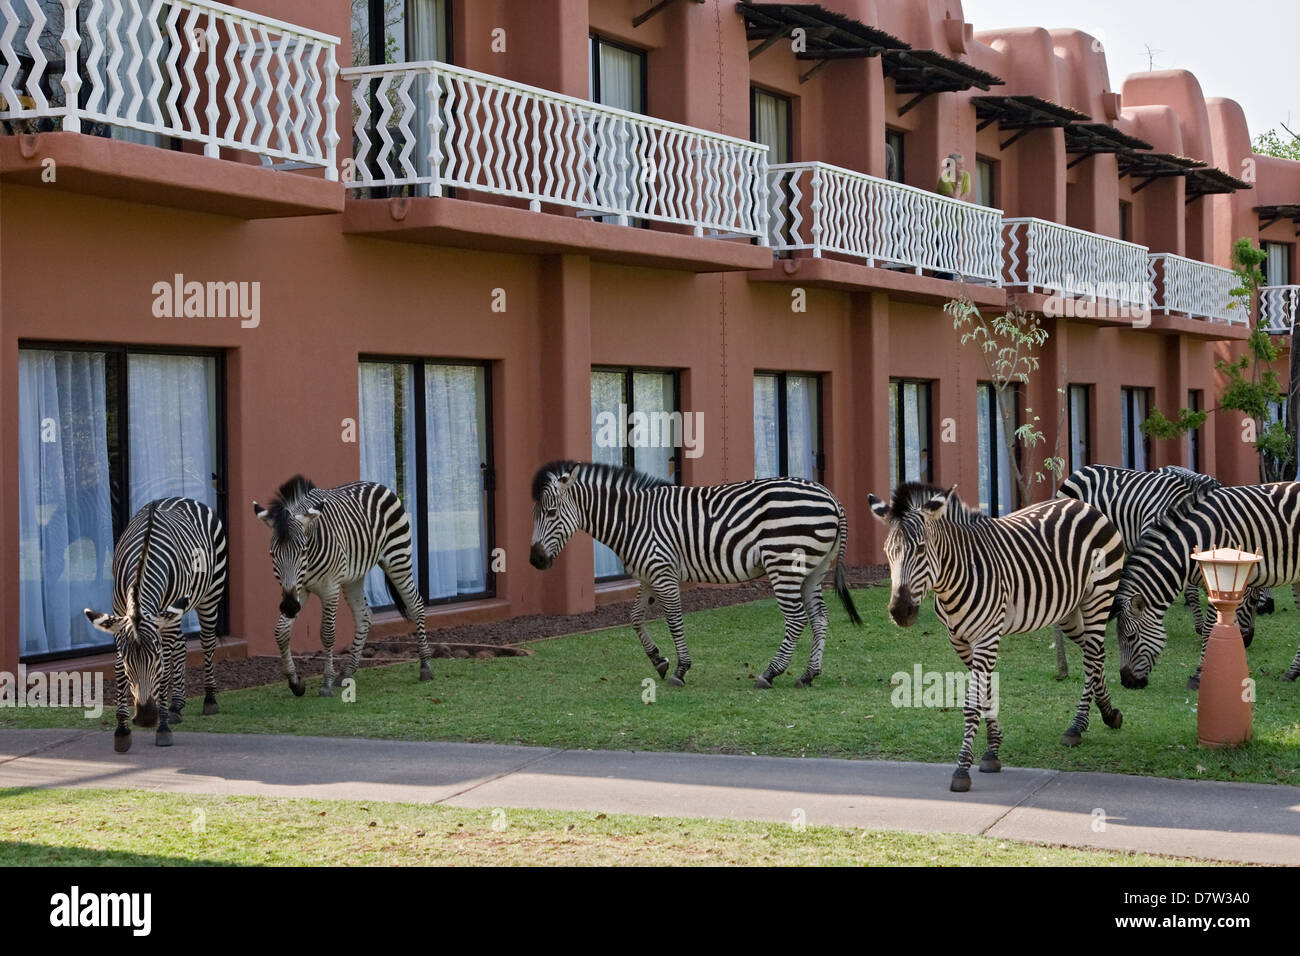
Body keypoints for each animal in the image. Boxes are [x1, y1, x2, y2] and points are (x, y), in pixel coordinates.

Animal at [83, 498, 228, 753]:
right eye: (128, 664)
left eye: (157, 662)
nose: (145, 718)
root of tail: (184, 499)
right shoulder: (120, 617)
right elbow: (118, 669)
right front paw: (122, 731)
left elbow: (165, 671)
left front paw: (163, 728)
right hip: (173, 615)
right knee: (181, 643)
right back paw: (176, 705)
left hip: (210, 594)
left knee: (207, 642)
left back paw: (209, 699)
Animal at [253, 476, 431, 696]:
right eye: (272, 554)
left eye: (303, 551)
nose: (289, 607)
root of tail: (377, 484)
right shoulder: (298, 590)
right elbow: (281, 633)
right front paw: (295, 682)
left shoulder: (329, 588)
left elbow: (327, 634)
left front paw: (326, 684)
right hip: (354, 577)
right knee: (364, 616)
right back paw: (347, 671)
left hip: (398, 559)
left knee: (416, 604)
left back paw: (425, 666)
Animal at [529, 460, 862, 688]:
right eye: (536, 514)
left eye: (550, 513)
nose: (534, 560)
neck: (632, 519)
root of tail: (830, 496)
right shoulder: (649, 574)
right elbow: (635, 617)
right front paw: (659, 661)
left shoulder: (662, 571)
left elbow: (674, 620)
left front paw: (680, 669)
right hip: (813, 570)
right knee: (819, 618)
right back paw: (808, 674)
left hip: (785, 564)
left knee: (796, 620)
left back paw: (770, 673)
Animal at [869, 483, 1125, 792]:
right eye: (887, 551)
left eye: (920, 549)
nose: (900, 611)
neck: (954, 575)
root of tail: (1083, 505)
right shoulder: (960, 640)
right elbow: (987, 693)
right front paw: (992, 750)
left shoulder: (986, 636)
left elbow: (972, 703)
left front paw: (962, 770)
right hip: (1068, 611)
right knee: (1096, 654)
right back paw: (1107, 713)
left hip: (1099, 595)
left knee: (1091, 659)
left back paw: (1077, 726)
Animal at [1114, 481, 1300, 689]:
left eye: (1130, 637)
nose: (1127, 683)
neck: (1196, 539)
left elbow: (1210, 627)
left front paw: (1199, 675)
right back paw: (1292, 673)